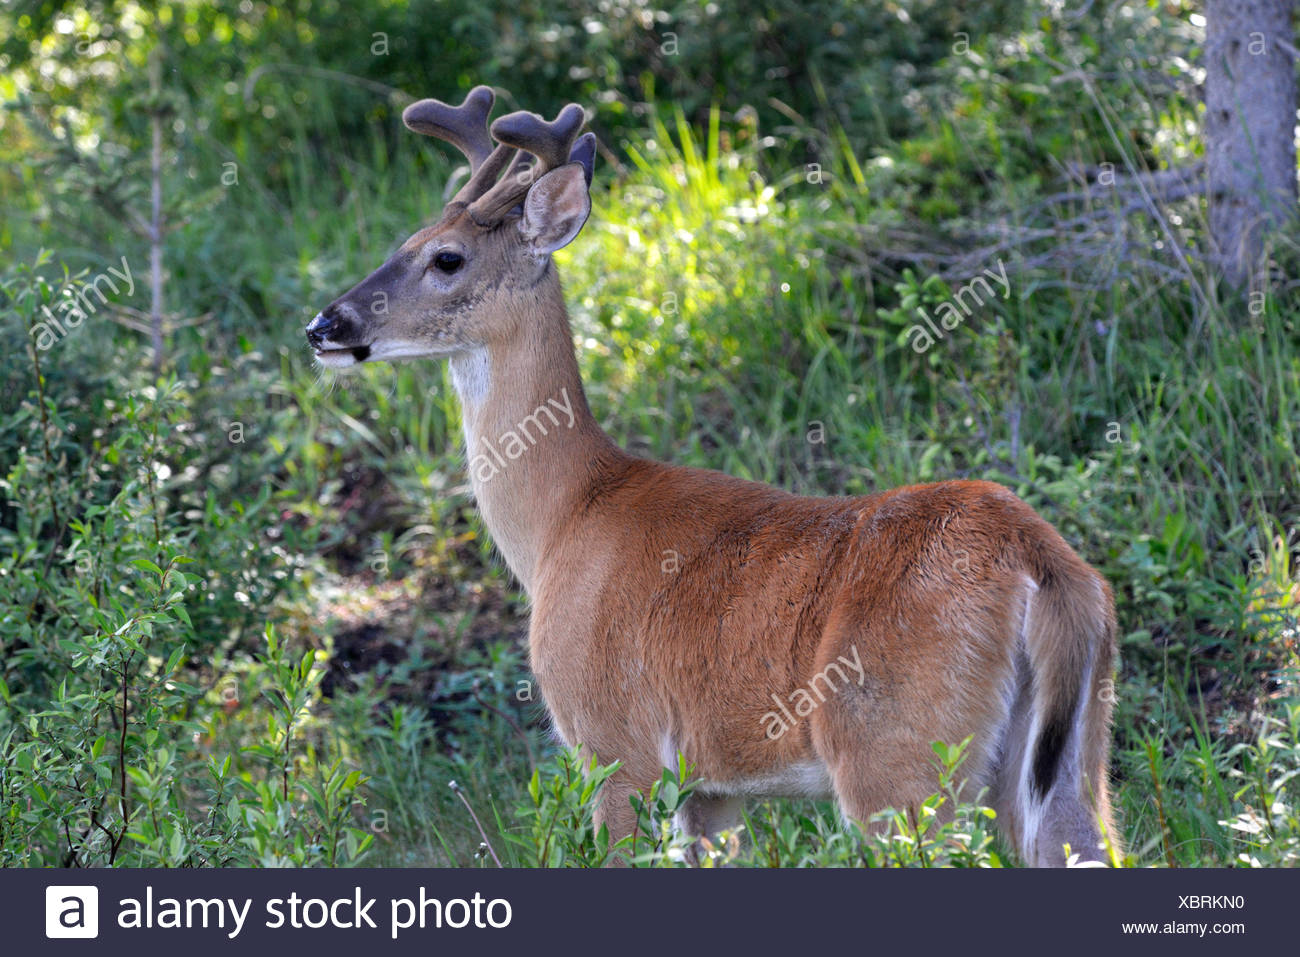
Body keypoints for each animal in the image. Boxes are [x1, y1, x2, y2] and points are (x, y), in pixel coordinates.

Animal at [305, 86, 1119, 867]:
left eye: (446, 258)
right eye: (404, 242)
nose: (325, 325)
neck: (562, 519)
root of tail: (1041, 563)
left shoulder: (617, 745)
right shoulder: (713, 786)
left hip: (901, 758)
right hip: (1077, 755)